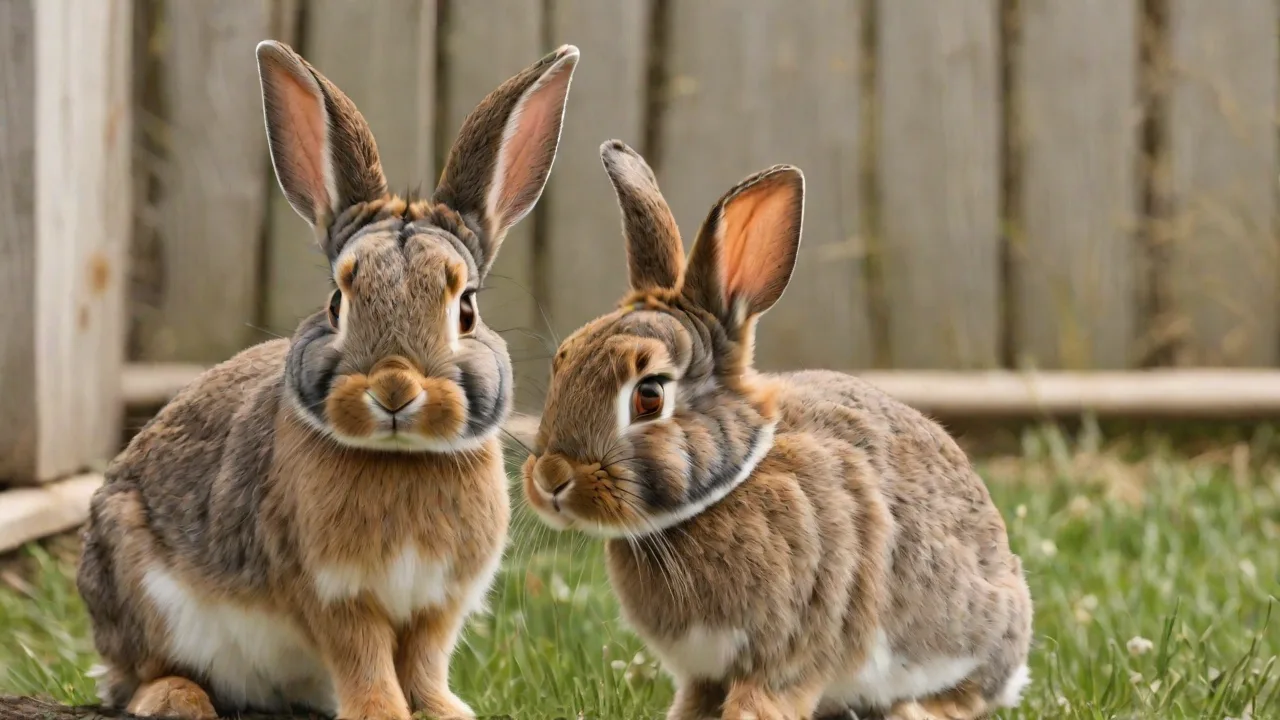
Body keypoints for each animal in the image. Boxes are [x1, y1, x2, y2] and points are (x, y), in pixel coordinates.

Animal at [75, 39, 579, 720]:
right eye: (337, 302)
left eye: (467, 309)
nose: (394, 389)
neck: (400, 457)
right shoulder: (332, 595)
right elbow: (363, 659)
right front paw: (382, 713)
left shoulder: (437, 604)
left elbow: (425, 662)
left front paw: (445, 711)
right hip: (135, 583)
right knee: (138, 676)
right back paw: (177, 698)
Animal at [520, 141, 1033, 720]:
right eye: (563, 361)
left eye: (649, 396)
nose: (551, 478)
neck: (727, 488)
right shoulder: (704, 673)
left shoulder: (786, 661)